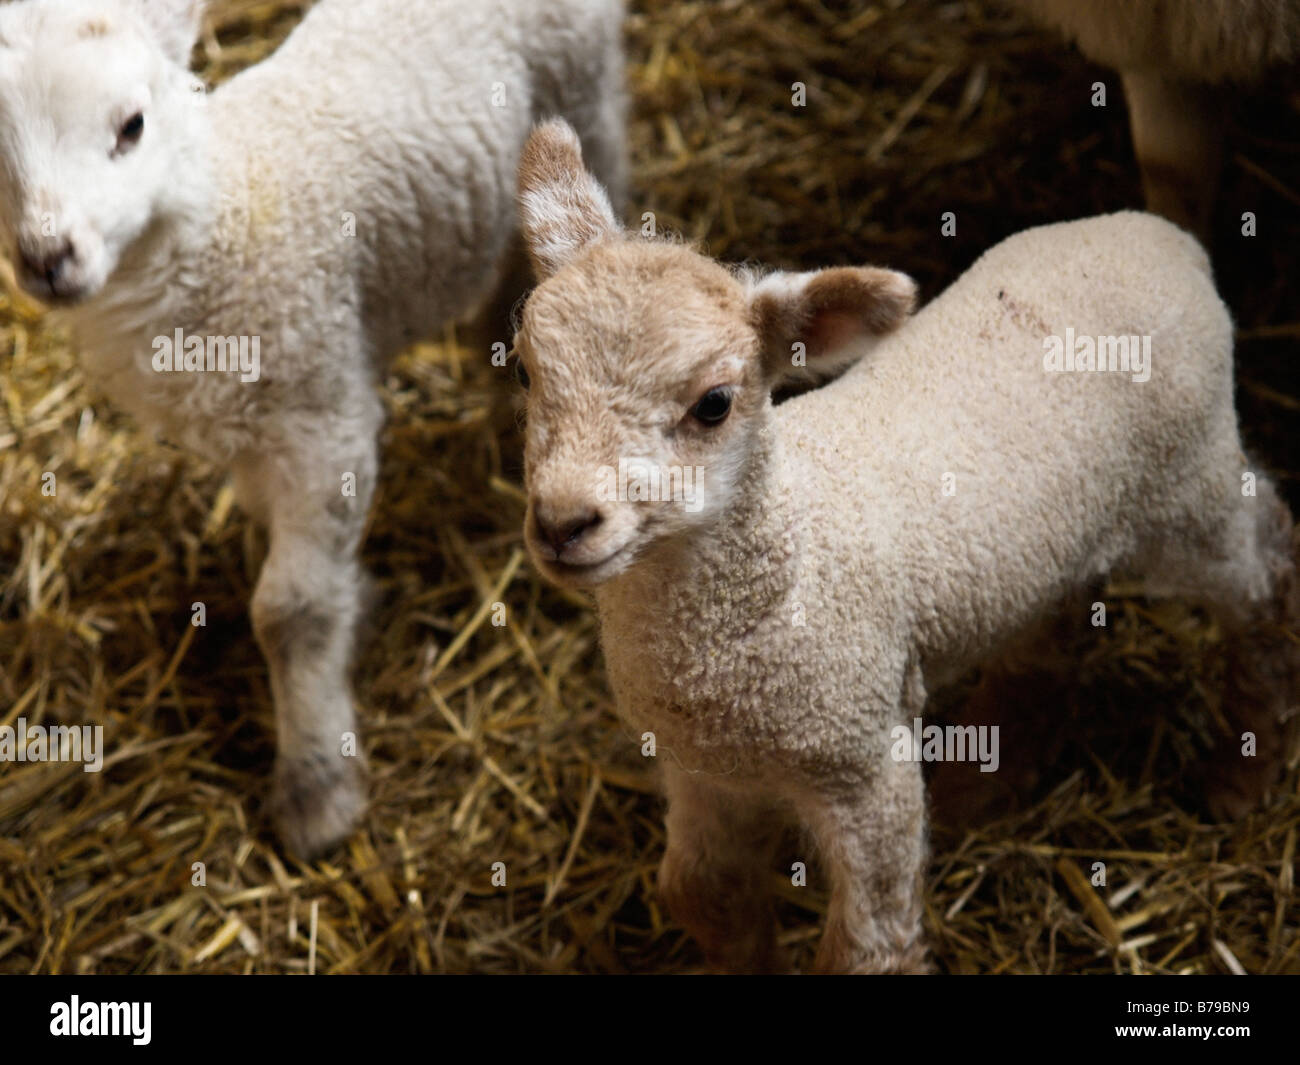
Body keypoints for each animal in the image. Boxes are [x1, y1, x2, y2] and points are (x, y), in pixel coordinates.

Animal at [0, 0, 626, 856]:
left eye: (131, 125)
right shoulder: (257, 427)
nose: (46, 257)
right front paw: (356, 604)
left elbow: (290, 611)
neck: (225, 221)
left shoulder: (323, 419)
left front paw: (317, 789)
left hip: (587, 97)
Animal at [509, 120, 1299, 973]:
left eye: (714, 403)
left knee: (1267, 569)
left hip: (1191, 484)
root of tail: (1165, 239)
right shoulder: (701, 769)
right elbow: (701, 897)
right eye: (524, 371)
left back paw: (1244, 767)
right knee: (1056, 622)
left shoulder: (865, 763)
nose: (563, 521)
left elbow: (870, 946)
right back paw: (992, 774)